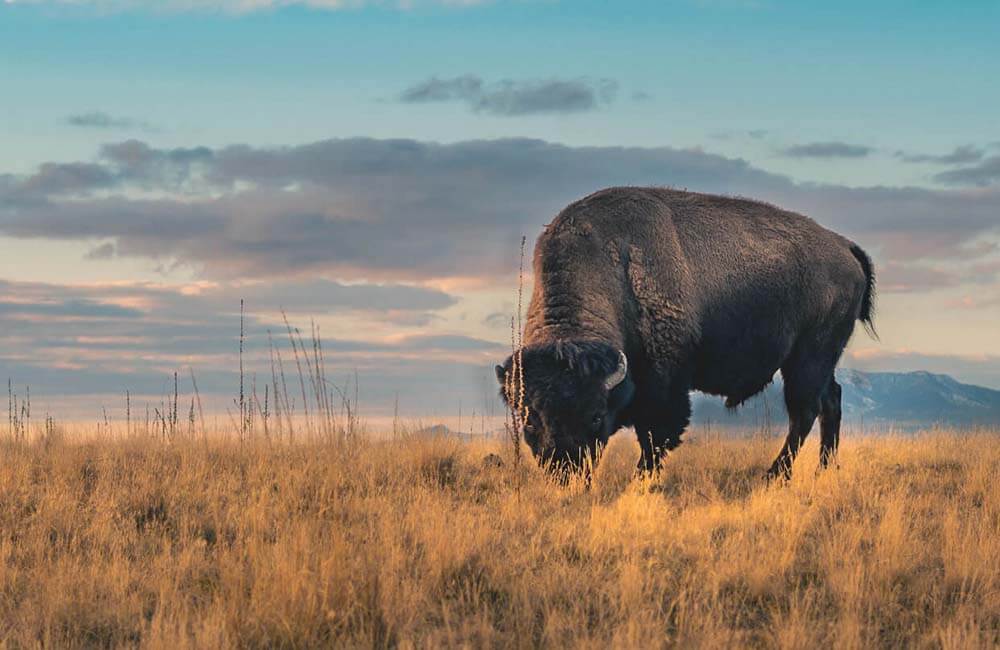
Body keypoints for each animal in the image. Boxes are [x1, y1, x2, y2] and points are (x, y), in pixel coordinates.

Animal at [496, 187, 876, 480]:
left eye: (595, 416)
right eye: (529, 423)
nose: (566, 473)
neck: (614, 272)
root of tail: (844, 246)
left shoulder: (664, 386)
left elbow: (655, 438)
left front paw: (642, 480)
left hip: (809, 357)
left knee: (805, 412)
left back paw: (776, 475)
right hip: (818, 362)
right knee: (831, 400)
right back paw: (823, 470)